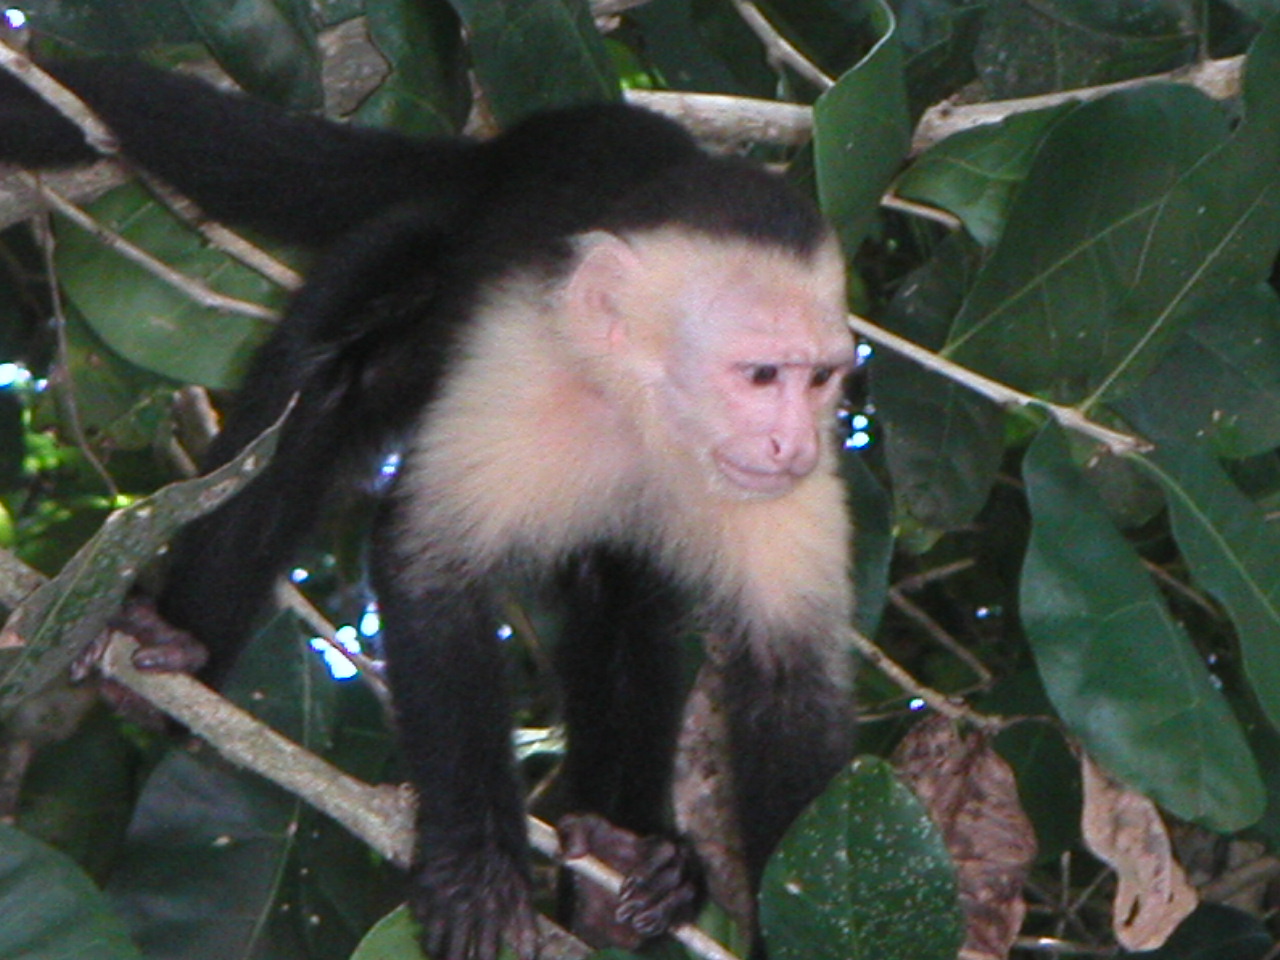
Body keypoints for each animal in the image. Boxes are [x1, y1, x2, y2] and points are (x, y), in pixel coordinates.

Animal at [0, 58, 858, 960]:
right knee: (327, 376)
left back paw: (624, 859)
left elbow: (789, 687)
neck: (644, 415)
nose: (793, 447)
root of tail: (516, 142)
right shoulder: (524, 380)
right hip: (434, 232)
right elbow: (428, 563)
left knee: (621, 589)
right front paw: (476, 866)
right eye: (760, 376)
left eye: (820, 378)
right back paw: (182, 638)